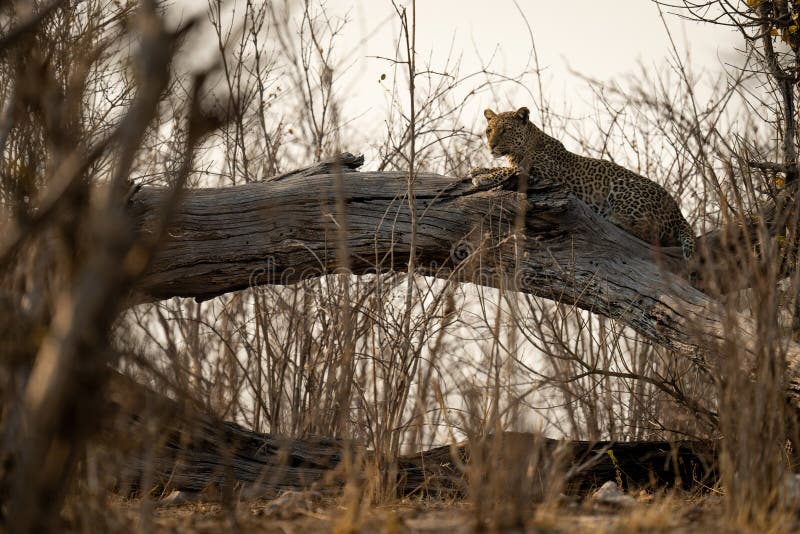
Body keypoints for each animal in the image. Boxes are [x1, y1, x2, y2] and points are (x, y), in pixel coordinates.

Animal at [471, 107, 695, 259]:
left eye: (506, 130)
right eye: (489, 130)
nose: (491, 146)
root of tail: (677, 211)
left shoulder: (545, 175)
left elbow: (510, 169)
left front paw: (481, 176)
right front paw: (479, 169)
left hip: (623, 190)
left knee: (652, 235)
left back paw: (614, 220)